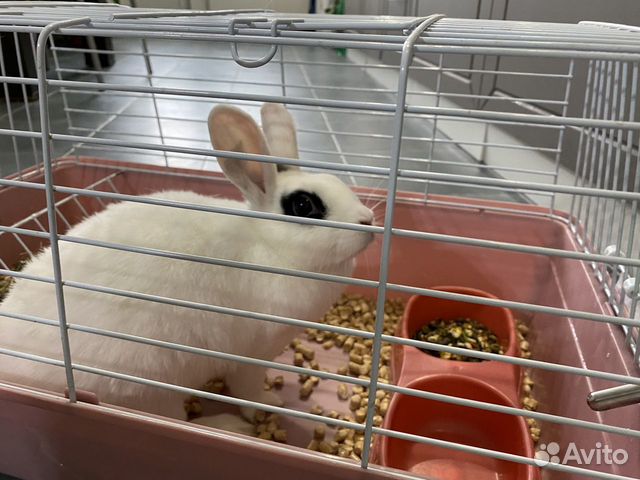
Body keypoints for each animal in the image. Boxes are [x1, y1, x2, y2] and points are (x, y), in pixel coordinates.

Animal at [0, 103, 374, 432]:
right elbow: (248, 390)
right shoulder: (252, 355)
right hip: (148, 386)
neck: (269, 245)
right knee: (176, 419)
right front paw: (269, 405)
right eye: (303, 205)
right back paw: (227, 426)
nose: (368, 221)